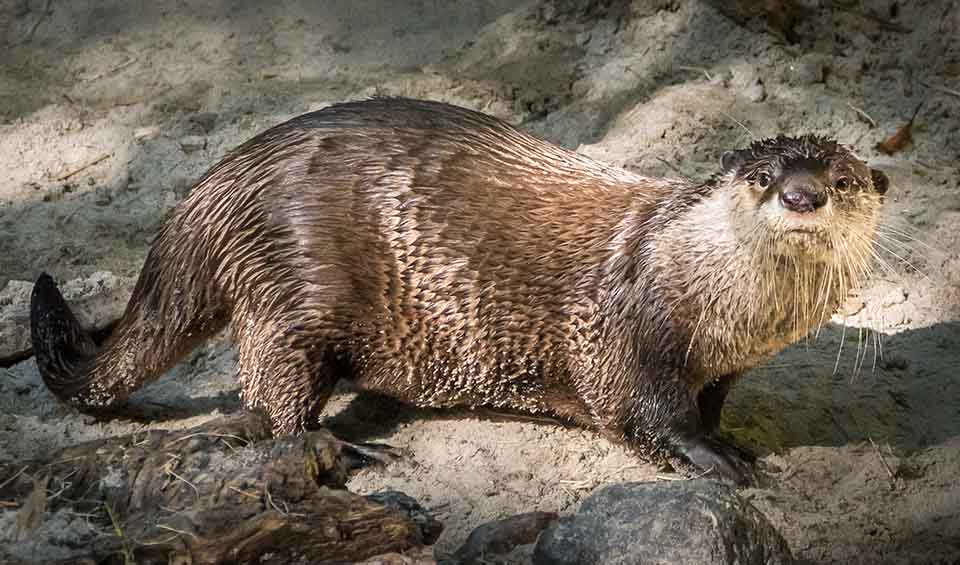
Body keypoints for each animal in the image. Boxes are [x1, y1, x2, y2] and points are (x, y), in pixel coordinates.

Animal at [30, 97, 889, 485]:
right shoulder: (624, 332)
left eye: (844, 180)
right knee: (271, 401)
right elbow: (642, 410)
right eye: (763, 176)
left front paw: (730, 437)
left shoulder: (722, 364)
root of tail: (222, 181)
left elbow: (708, 402)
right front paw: (718, 459)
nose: (804, 195)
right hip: (291, 286)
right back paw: (340, 446)